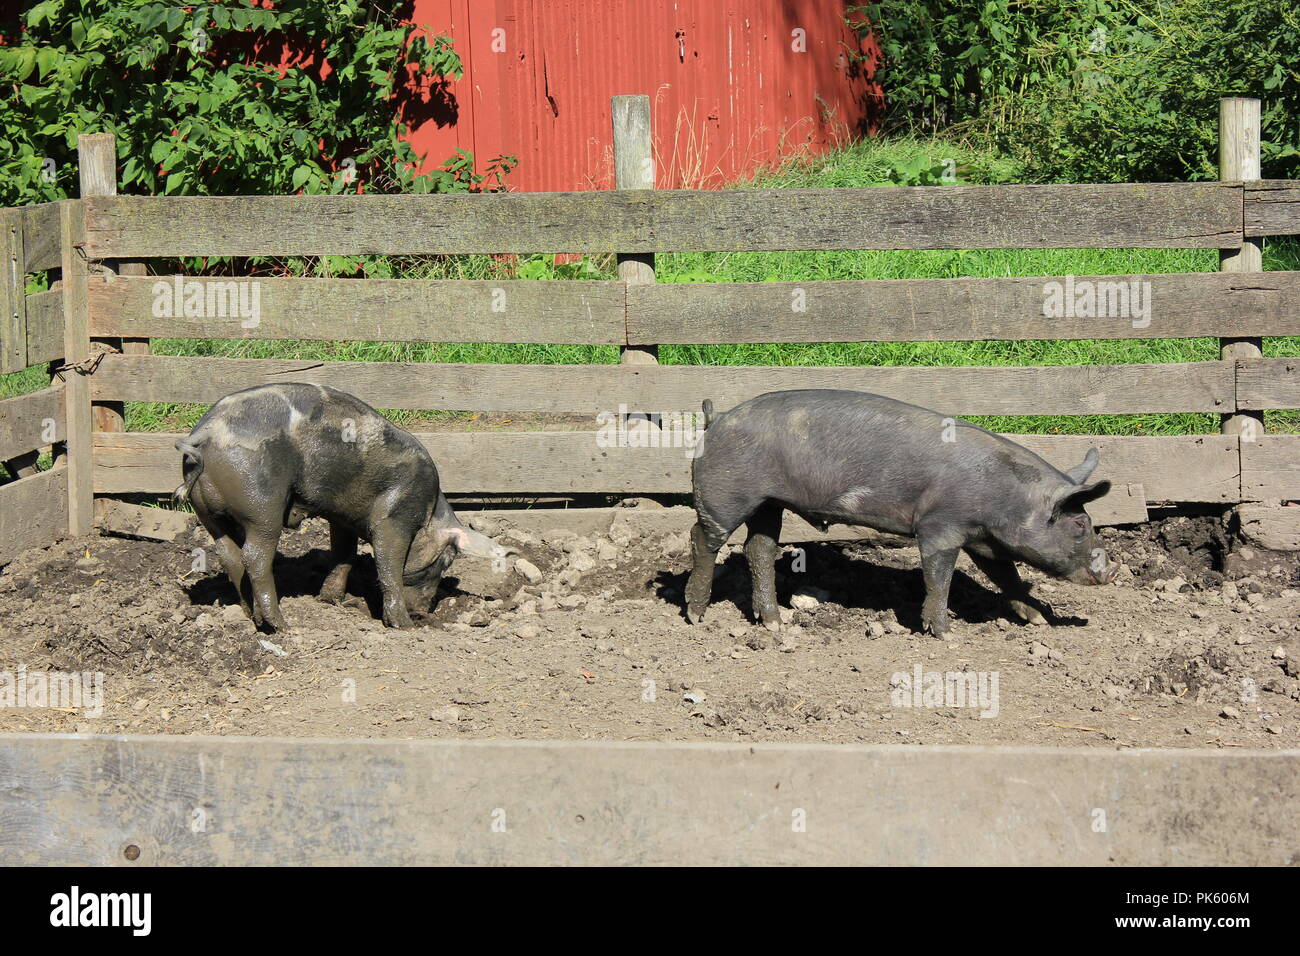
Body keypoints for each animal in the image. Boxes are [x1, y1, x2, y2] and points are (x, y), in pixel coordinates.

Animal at [174, 383, 508, 631]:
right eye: (447, 560)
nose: (423, 614)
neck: (428, 513)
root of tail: (206, 433)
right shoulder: (394, 517)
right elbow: (388, 567)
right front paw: (403, 626)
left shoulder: (342, 517)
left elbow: (344, 555)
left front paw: (332, 601)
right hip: (261, 505)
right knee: (254, 557)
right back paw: (281, 626)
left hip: (209, 514)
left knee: (229, 556)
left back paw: (248, 615)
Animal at [683, 390, 1115, 637]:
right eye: (1080, 524)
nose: (1110, 571)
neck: (1007, 499)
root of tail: (714, 419)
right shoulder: (940, 526)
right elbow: (939, 578)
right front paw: (945, 633)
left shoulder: (985, 541)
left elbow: (1007, 577)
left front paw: (1037, 619)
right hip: (725, 495)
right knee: (702, 539)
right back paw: (696, 616)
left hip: (768, 503)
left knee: (758, 549)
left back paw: (775, 623)